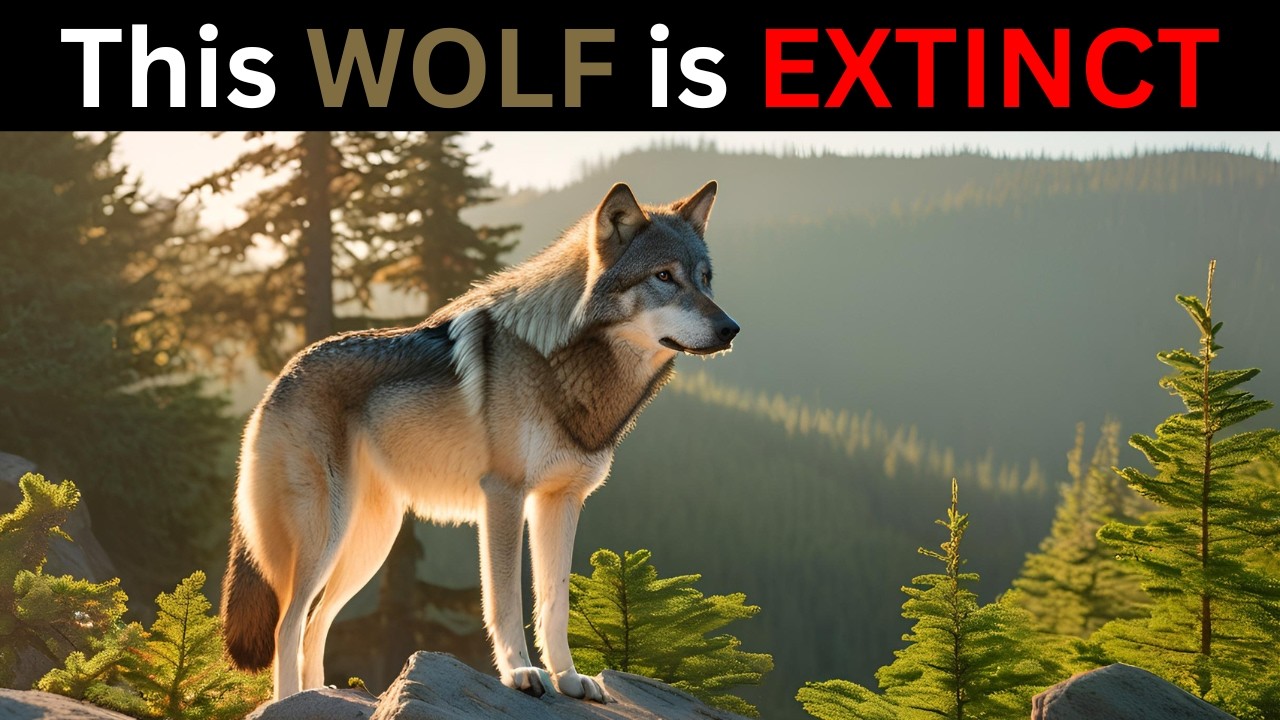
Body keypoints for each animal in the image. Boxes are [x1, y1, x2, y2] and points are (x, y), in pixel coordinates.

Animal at [219, 180, 739, 704]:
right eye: (664, 276)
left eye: (705, 279)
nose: (730, 329)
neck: (561, 361)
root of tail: (281, 376)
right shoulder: (504, 496)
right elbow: (506, 600)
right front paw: (520, 672)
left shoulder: (562, 501)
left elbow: (554, 603)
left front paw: (569, 679)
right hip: (326, 535)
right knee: (287, 625)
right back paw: (291, 699)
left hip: (369, 544)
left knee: (314, 624)